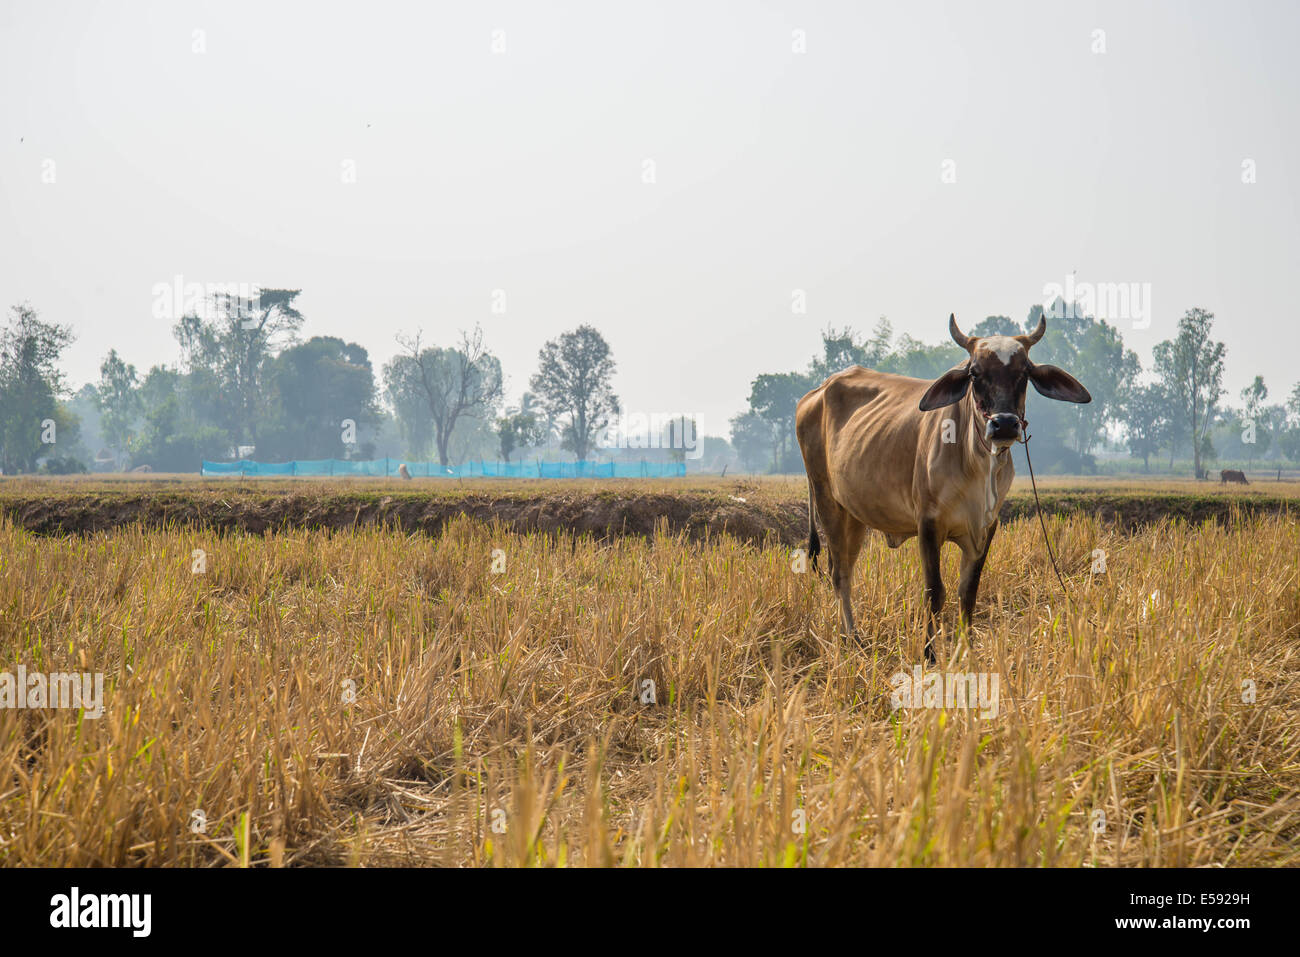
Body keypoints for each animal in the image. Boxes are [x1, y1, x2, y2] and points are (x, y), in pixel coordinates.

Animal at [796, 314, 1092, 662]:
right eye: (975, 373)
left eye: (1025, 373)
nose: (1004, 424)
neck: (976, 464)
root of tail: (816, 391)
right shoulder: (928, 523)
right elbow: (934, 591)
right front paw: (929, 654)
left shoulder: (985, 527)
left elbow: (968, 592)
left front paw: (968, 649)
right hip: (827, 500)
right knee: (838, 573)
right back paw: (850, 639)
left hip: (855, 514)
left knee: (846, 570)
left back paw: (852, 637)